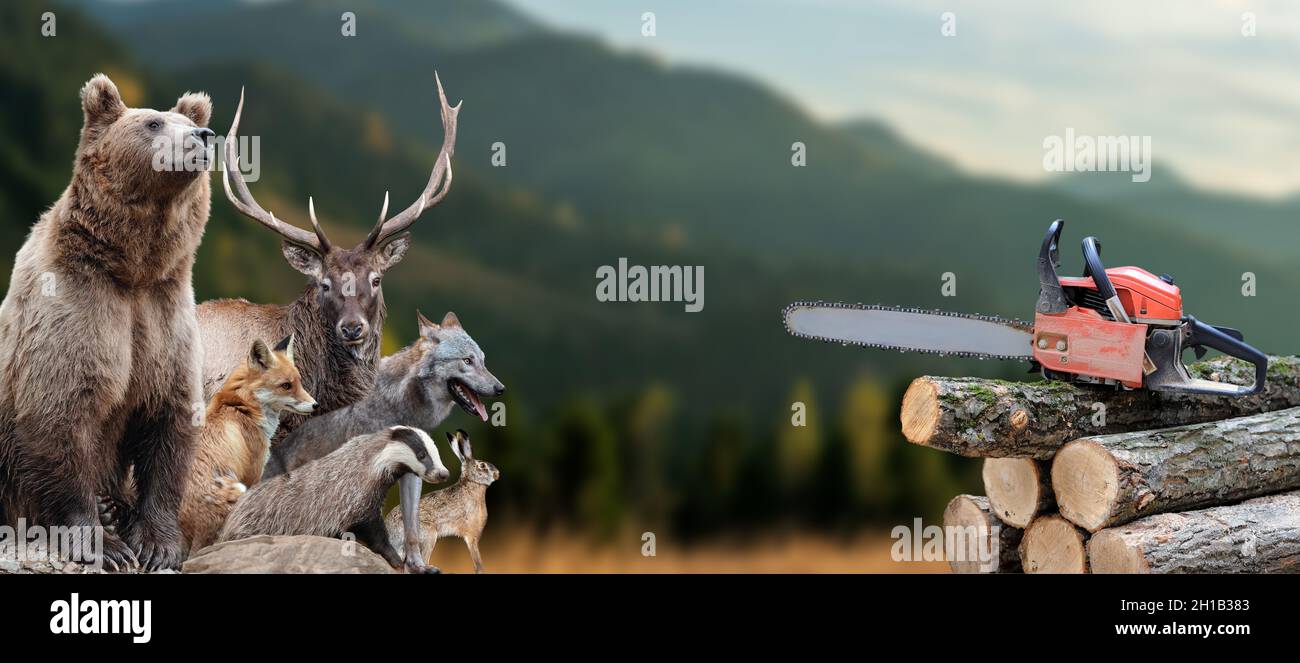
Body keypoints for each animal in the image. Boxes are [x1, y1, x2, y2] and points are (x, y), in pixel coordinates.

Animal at [0, 74, 214, 570]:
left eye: (185, 120)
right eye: (154, 123)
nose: (202, 136)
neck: (132, 270)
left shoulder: (164, 318)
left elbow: (170, 420)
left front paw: (156, 543)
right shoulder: (75, 308)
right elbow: (60, 414)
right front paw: (103, 542)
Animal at [177, 336, 316, 554]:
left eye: (299, 382)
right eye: (286, 385)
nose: (315, 405)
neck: (242, 407)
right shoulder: (253, 473)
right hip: (239, 490)